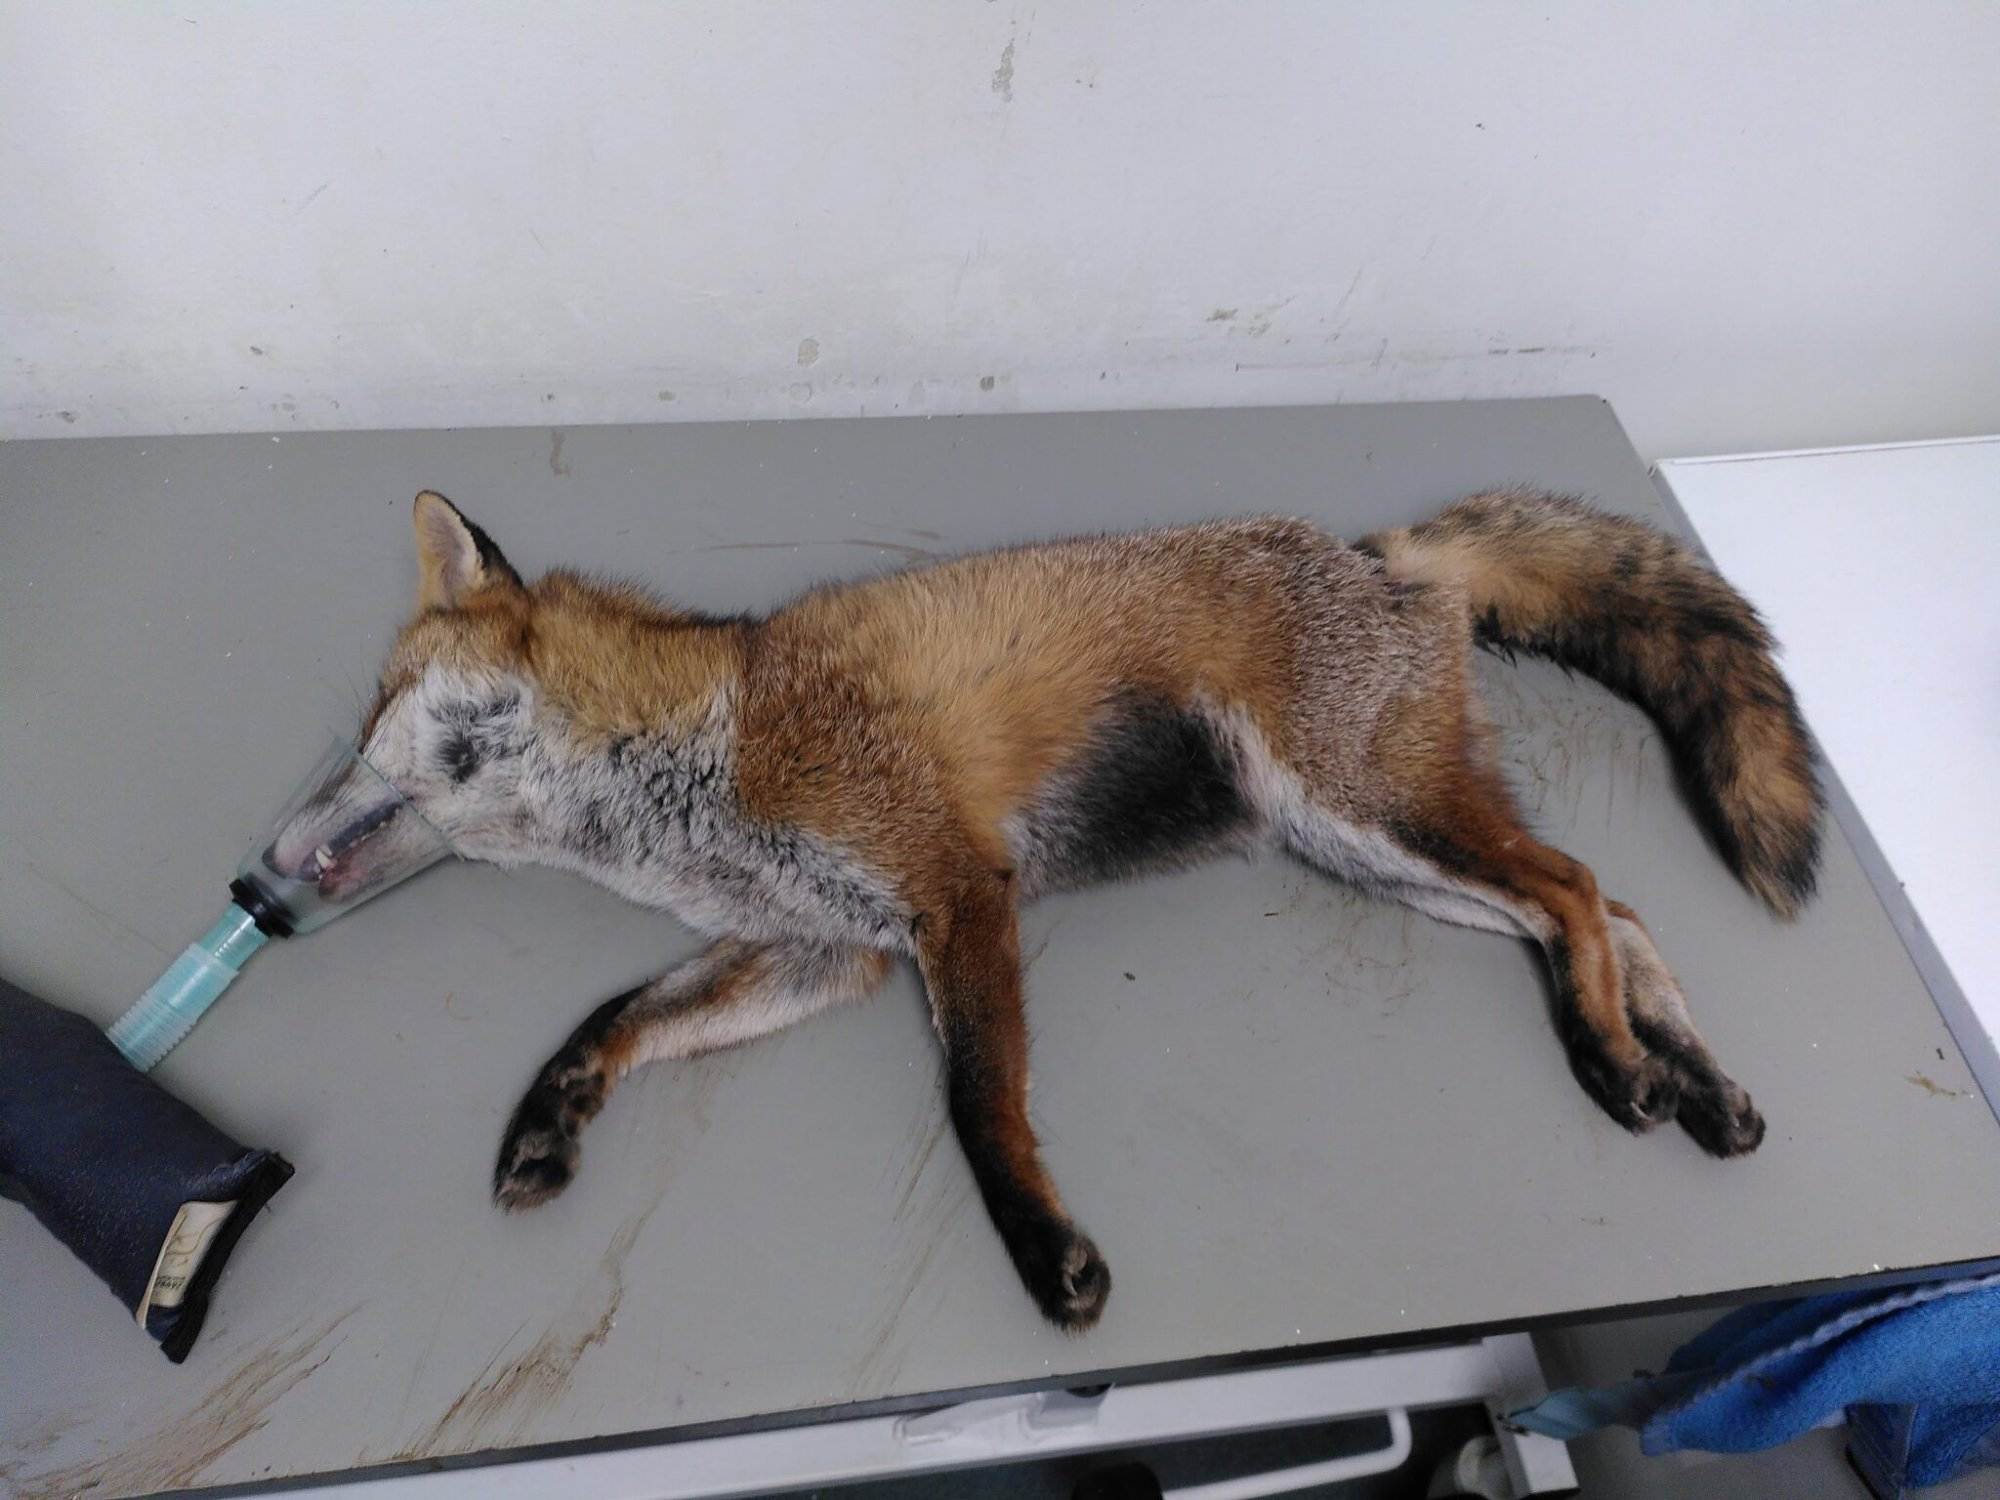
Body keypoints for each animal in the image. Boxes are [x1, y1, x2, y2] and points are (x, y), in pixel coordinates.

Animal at [283, 487, 1821, 1332]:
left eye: (372, 718)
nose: (257, 876)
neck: (700, 764)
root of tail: (1376, 553)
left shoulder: (954, 892)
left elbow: (977, 1104)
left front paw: (1045, 1251)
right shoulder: (823, 948)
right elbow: (615, 1017)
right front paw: (549, 1117)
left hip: (1373, 812)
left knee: (1576, 891)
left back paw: (1618, 1062)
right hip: (1373, 854)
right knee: (1613, 915)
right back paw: (1699, 1080)